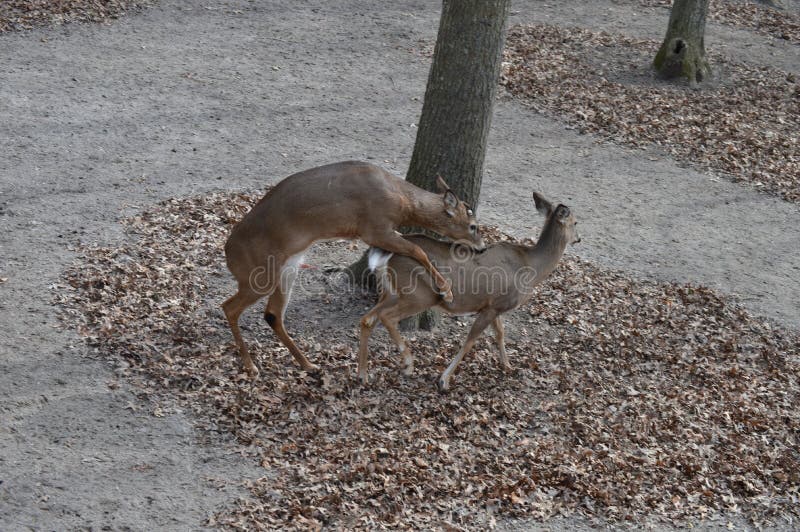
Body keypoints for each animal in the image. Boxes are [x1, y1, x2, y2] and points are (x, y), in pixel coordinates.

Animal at [222, 160, 485, 378]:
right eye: (472, 225)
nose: (482, 248)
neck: (401, 199)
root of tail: (228, 252)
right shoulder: (375, 228)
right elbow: (417, 249)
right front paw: (446, 290)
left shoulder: (379, 233)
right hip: (259, 276)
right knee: (229, 307)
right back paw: (251, 366)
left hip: (287, 271)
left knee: (272, 314)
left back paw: (310, 366)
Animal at [358, 191, 580, 392]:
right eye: (576, 222)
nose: (579, 238)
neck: (531, 268)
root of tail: (386, 254)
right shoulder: (494, 306)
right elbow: (470, 340)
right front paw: (444, 381)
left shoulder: (493, 304)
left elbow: (500, 333)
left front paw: (508, 366)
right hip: (419, 293)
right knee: (387, 317)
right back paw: (408, 364)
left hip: (391, 291)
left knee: (368, 318)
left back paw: (363, 375)